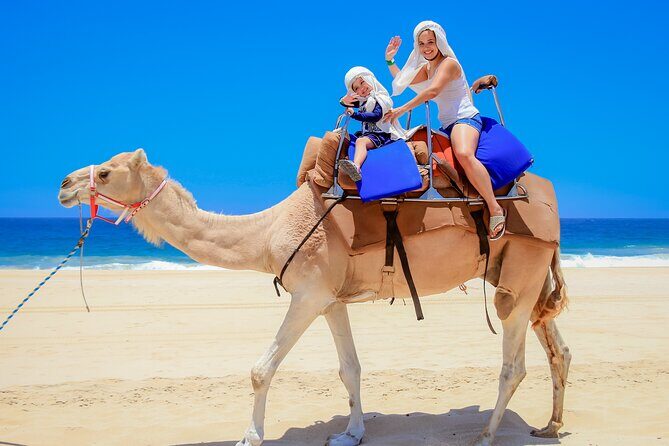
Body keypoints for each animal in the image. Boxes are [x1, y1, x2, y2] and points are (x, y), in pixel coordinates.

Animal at [58, 148, 571, 446]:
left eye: (106, 173)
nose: (64, 185)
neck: (267, 234)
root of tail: (550, 204)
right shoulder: (330, 300)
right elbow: (350, 369)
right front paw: (351, 433)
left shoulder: (306, 293)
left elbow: (261, 369)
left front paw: (251, 436)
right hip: (527, 275)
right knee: (557, 350)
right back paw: (549, 426)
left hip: (520, 272)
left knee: (513, 362)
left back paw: (484, 436)